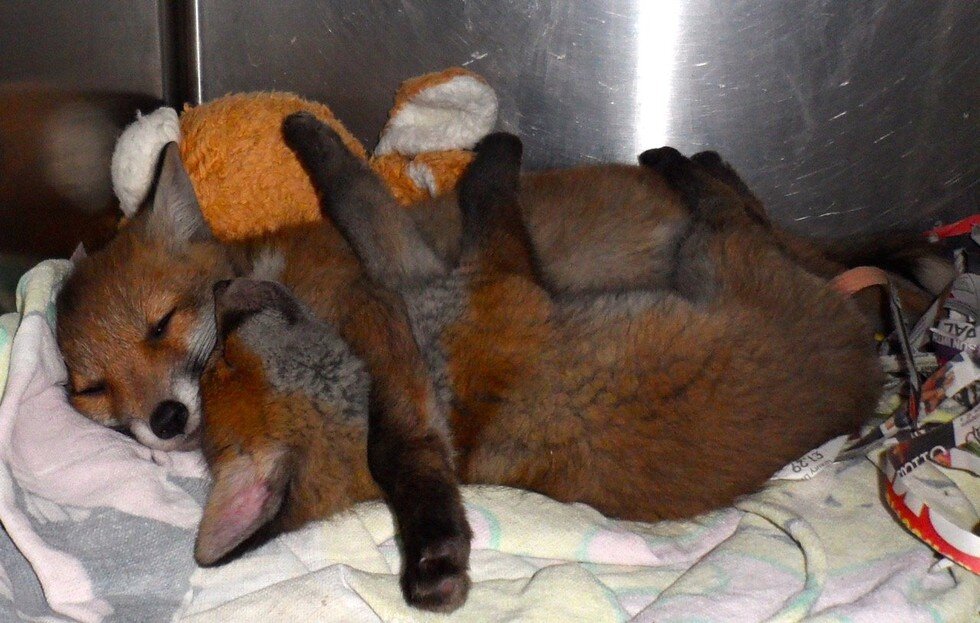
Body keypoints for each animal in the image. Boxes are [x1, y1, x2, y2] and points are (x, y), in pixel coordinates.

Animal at [55, 111, 947, 612]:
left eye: (164, 323)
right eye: (91, 390)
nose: (165, 418)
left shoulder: (386, 293)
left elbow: (357, 192)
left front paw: (311, 135)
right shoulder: (431, 288)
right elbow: (383, 202)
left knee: (751, 206)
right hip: (727, 256)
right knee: (736, 209)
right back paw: (688, 163)